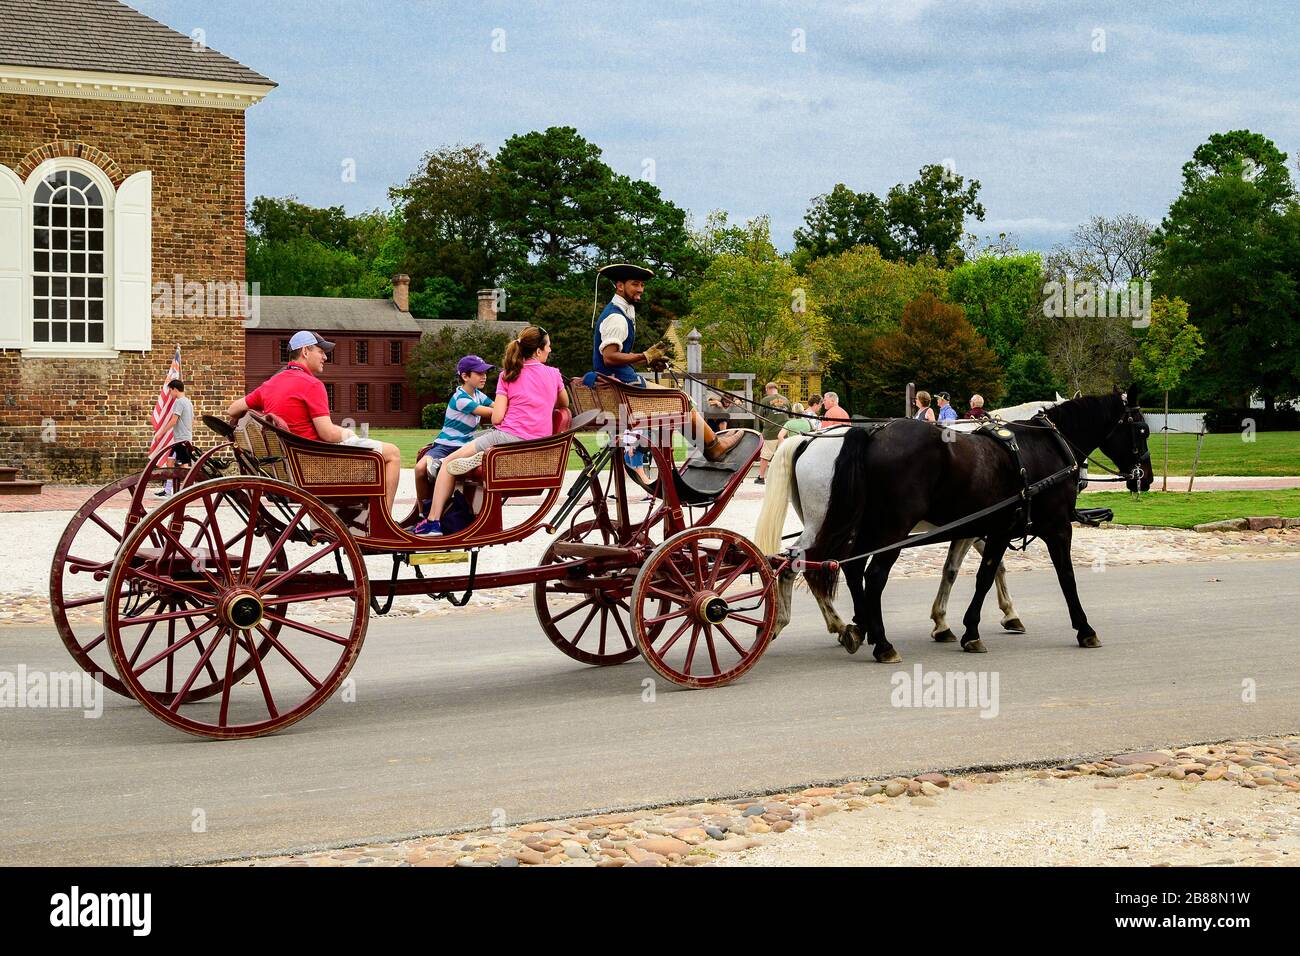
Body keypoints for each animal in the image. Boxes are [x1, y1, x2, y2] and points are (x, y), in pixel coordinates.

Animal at [754, 386, 1152, 661]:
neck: (1038, 447)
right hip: (878, 527)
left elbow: (974, 572)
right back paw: (871, 639)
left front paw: (956, 624)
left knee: (830, 566)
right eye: (1142, 430)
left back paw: (852, 625)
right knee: (836, 569)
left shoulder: (981, 527)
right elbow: (1061, 577)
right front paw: (1081, 627)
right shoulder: (1053, 527)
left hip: (860, 527)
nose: (1145, 478)